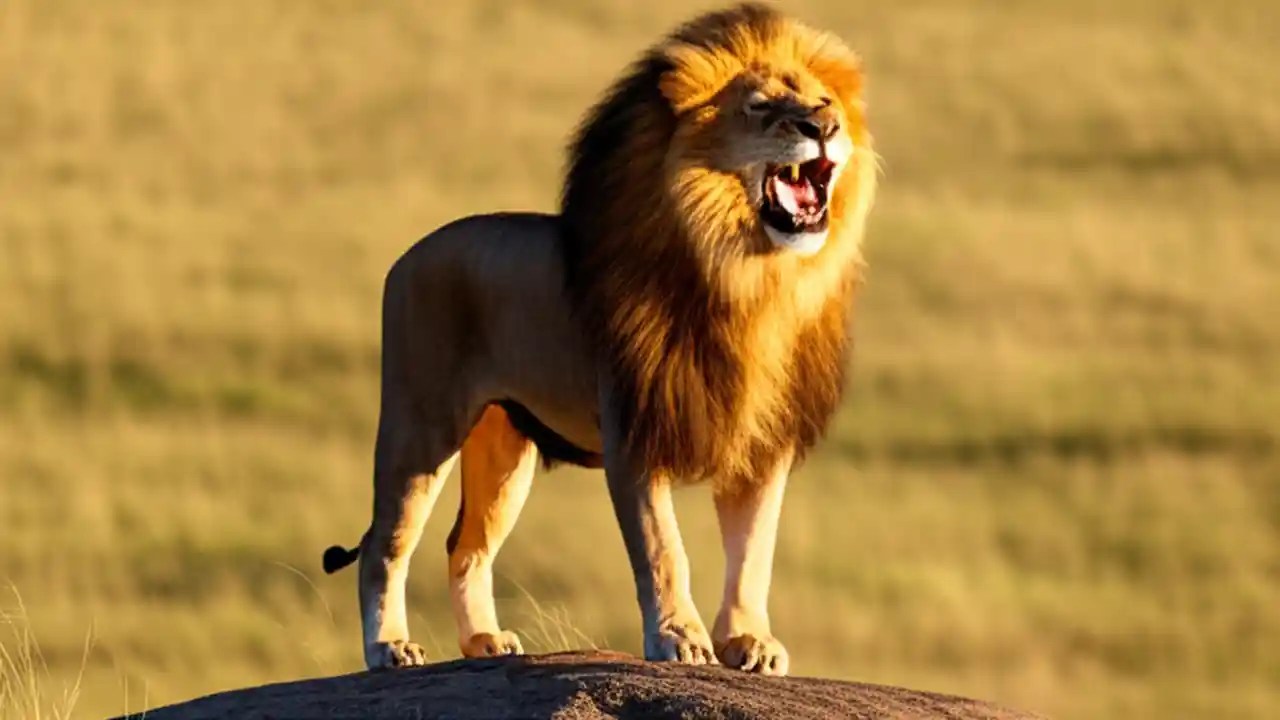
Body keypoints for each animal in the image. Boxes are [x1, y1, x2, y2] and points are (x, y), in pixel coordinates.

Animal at [322, 3, 876, 676]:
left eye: (824, 100)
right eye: (760, 105)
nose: (824, 125)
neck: (750, 279)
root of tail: (408, 255)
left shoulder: (762, 442)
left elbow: (753, 555)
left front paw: (750, 642)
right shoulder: (634, 433)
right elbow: (665, 548)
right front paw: (679, 639)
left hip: (504, 449)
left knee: (467, 544)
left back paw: (485, 642)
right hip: (421, 425)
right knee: (384, 542)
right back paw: (388, 647)